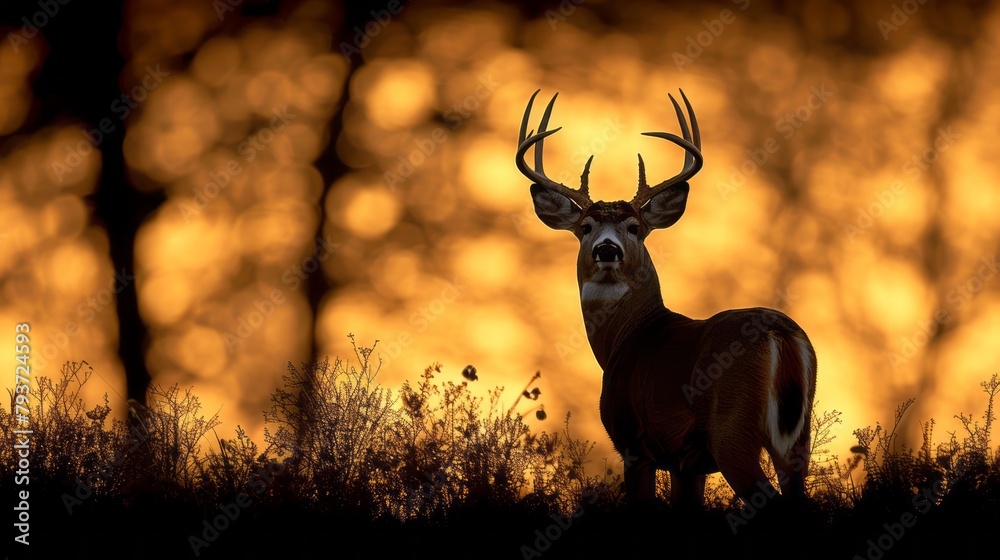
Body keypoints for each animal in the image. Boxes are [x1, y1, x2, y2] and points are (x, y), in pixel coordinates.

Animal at [516, 89, 817, 511]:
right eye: (585, 227)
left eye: (634, 227)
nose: (606, 250)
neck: (628, 337)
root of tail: (781, 332)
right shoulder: (687, 464)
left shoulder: (633, 442)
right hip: (796, 440)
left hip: (732, 432)